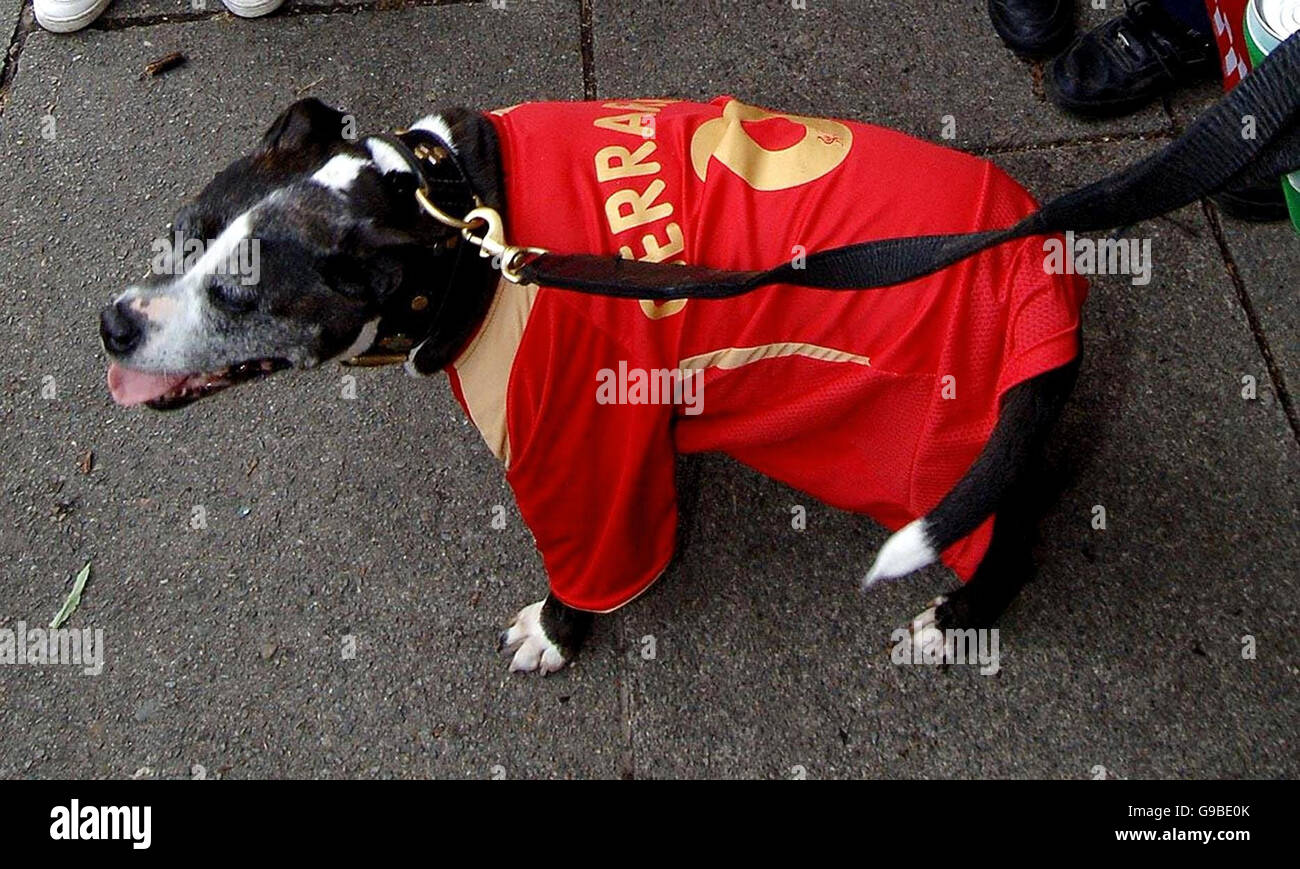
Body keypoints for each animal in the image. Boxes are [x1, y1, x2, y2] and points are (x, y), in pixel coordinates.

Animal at [96, 98, 1081, 676]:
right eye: (183, 232)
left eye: (242, 296)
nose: (114, 324)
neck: (454, 210)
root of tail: (1042, 273)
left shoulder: (580, 452)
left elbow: (587, 567)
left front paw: (556, 632)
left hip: (921, 451)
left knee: (1009, 542)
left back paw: (954, 622)